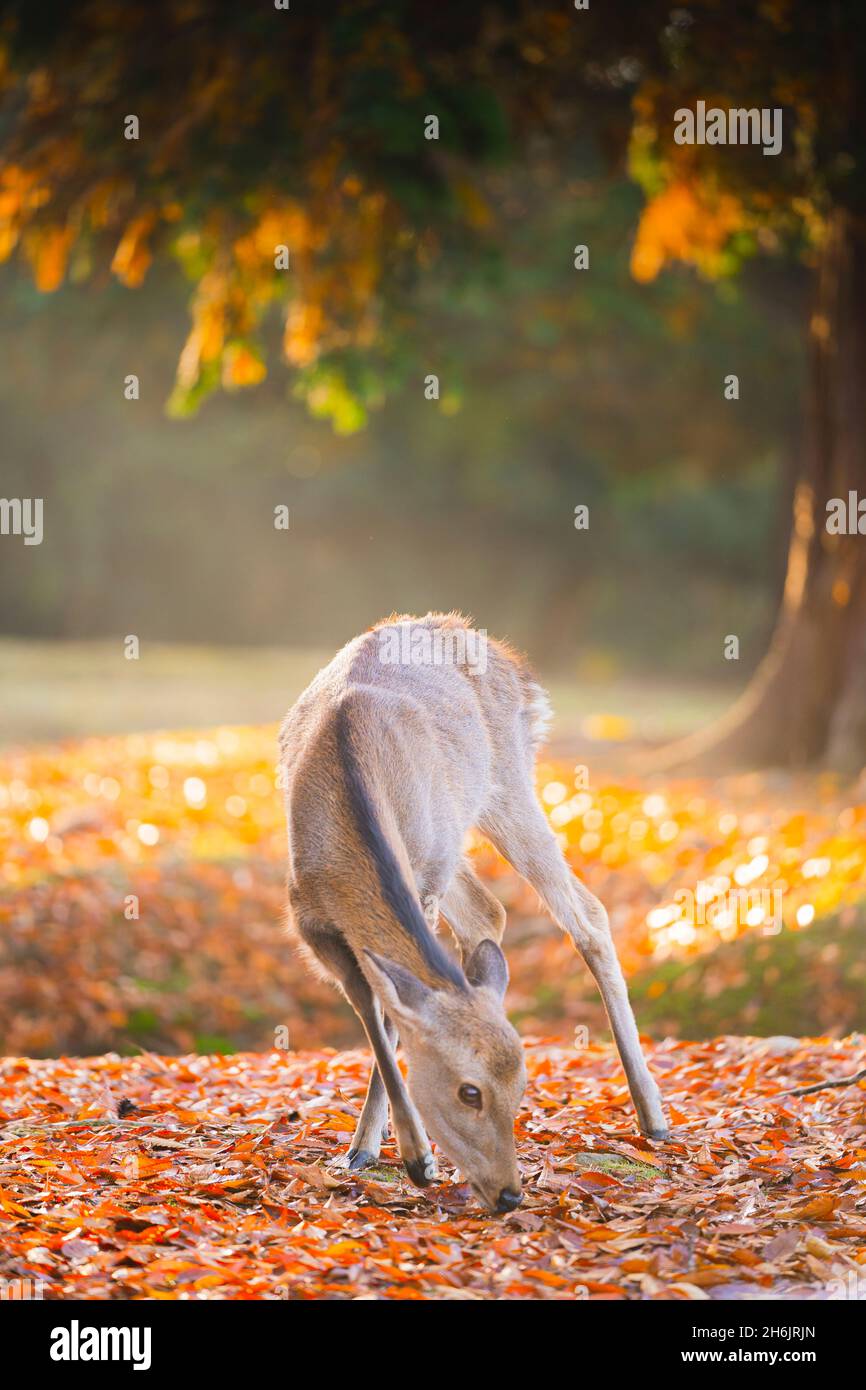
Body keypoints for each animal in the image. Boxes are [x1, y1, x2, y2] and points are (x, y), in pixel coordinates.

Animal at [279, 613, 667, 1214]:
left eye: (522, 1088)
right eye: (470, 1091)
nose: (509, 1194)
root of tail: (513, 663)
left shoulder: (424, 879)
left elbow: (390, 1010)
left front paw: (413, 1157)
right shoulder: (309, 918)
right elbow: (373, 1008)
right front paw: (376, 1149)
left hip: (507, 787)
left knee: (588, 912)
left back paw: (653, 1114)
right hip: (460, 833)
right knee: (490, 911)